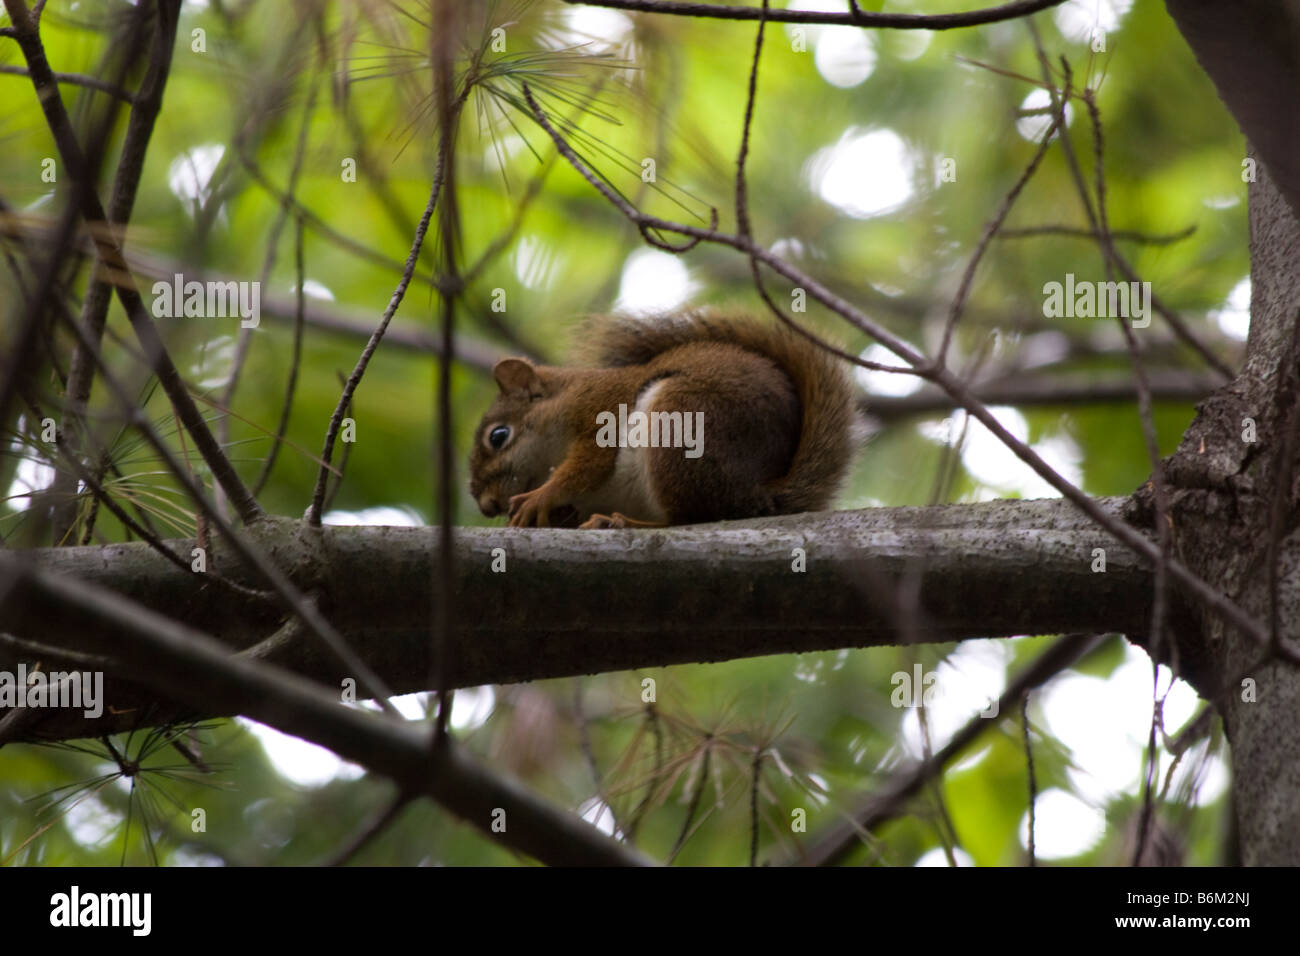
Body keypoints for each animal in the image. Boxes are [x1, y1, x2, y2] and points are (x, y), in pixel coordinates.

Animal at [468, 310, 857, 529]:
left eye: (498, 436)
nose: (486, 507)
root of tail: (759, 495)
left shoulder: (599, 410)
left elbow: (587, 466)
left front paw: (540, 497)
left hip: (681, 424)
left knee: (687, 519)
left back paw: (623, 524)